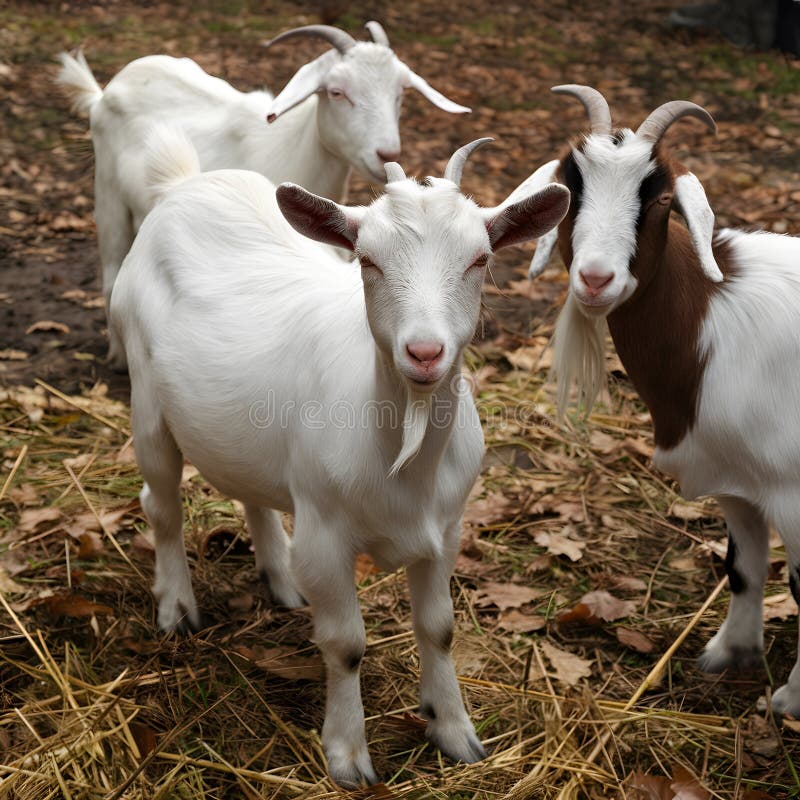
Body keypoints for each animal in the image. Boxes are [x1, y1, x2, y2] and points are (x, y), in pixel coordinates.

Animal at [56, 22, 470, 370]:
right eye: (337, 92)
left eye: (400, 93)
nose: (386, 153)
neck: (291, 147)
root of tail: (106, 91)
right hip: (108, 194)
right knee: (111, 273)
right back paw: (117, 356)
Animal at [110, 129, 570, 786]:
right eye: (368, 261)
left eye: (479, 260)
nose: (424, 352)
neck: (405, 456)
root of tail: (185, 182)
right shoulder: (326, 532)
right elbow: (346, 644)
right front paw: (348, 755)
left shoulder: (446, 531)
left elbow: (440, 628)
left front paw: (455, 732)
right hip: (147, 397)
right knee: (161, 503)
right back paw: (176, 606)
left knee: (251, 494)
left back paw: (280, 578)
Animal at [545, 84, 800, 718]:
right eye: (571, 186)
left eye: (660, 198)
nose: (594, 279)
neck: (715, 316)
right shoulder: (738, 478)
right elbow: (743, 568)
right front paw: (729, 653)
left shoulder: (795, 492)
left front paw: (790, 699)